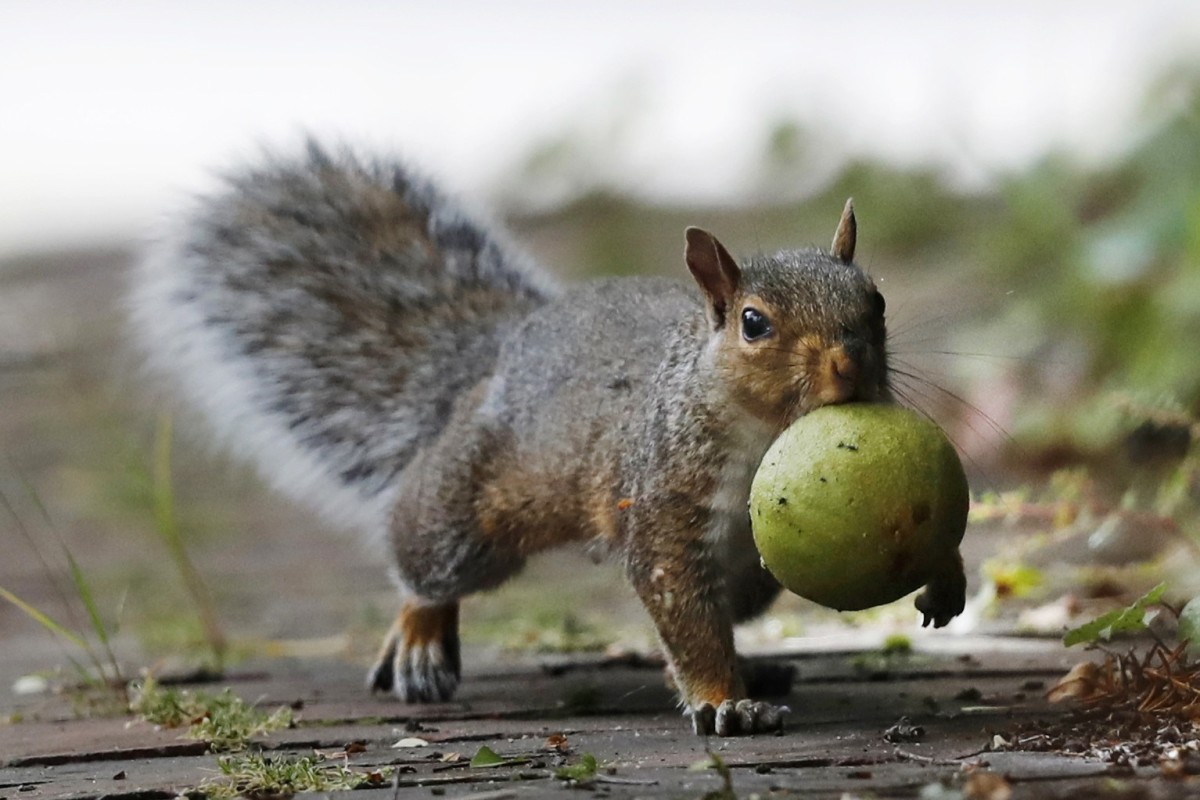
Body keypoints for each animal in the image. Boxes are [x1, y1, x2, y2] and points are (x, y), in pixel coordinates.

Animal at [131, 140, 966, 736]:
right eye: (753, 323)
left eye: (875, 300)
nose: (851, 363)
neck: (765, 432)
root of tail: (502, 353)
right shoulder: (667, 495)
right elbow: (680, 608)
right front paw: (724, 701)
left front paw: (944, 577)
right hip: (469, 511)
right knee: (423, 558)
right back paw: (421, 636)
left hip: (752, 576)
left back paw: (758, 666)